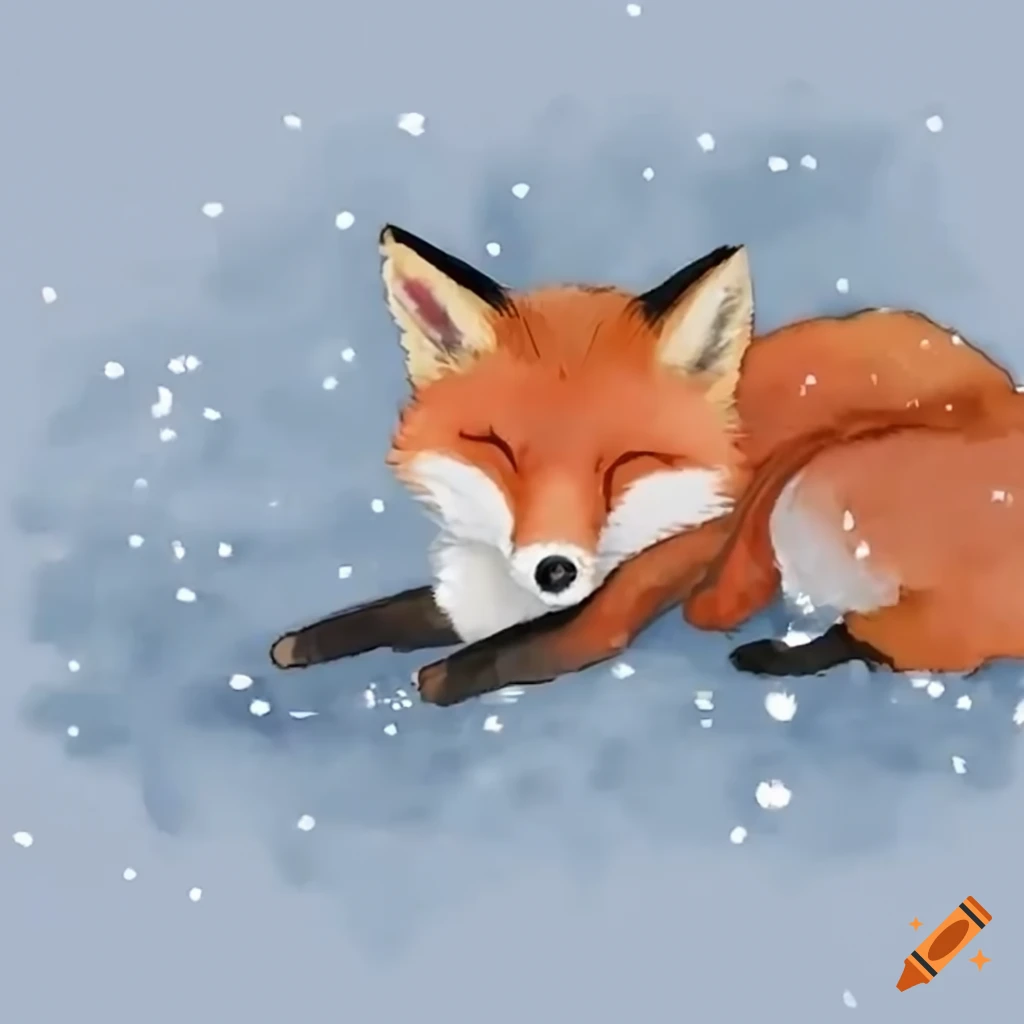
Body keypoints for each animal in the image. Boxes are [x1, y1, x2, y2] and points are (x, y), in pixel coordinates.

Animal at [269, 224, 1022, 705]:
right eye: (501, 450)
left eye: (624, 461)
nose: (554, 569)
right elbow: (389, 614)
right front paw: (298, 645)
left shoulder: (621, 603)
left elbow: (524, 648)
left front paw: (439, 678)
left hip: (814, 480)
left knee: (924, 646)